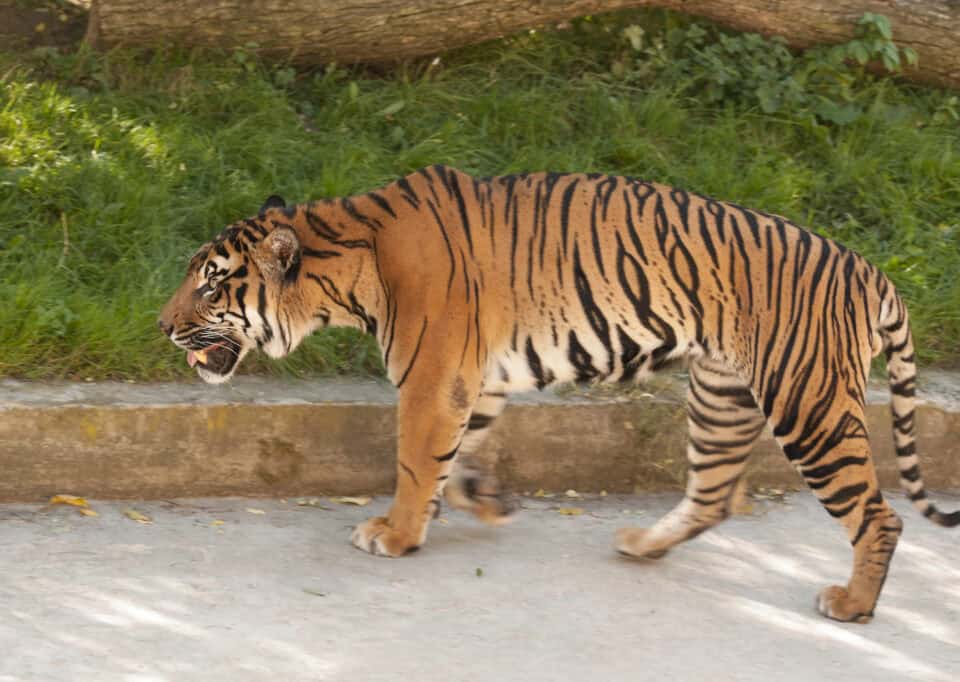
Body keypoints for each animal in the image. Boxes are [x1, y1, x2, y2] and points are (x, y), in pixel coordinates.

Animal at [158, 164, 958, 623]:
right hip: (722, 397)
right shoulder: (474, 375)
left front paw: (396, 533)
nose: (163, 326)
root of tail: (869, 270)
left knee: (878, 515)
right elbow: (460, 453)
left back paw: (851, 605)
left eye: (210, 283)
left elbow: (416, 460)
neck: (346, 261)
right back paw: (641, 545)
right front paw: (485, 501)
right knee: (716, 494)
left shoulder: (433, 377)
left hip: (808, 402)